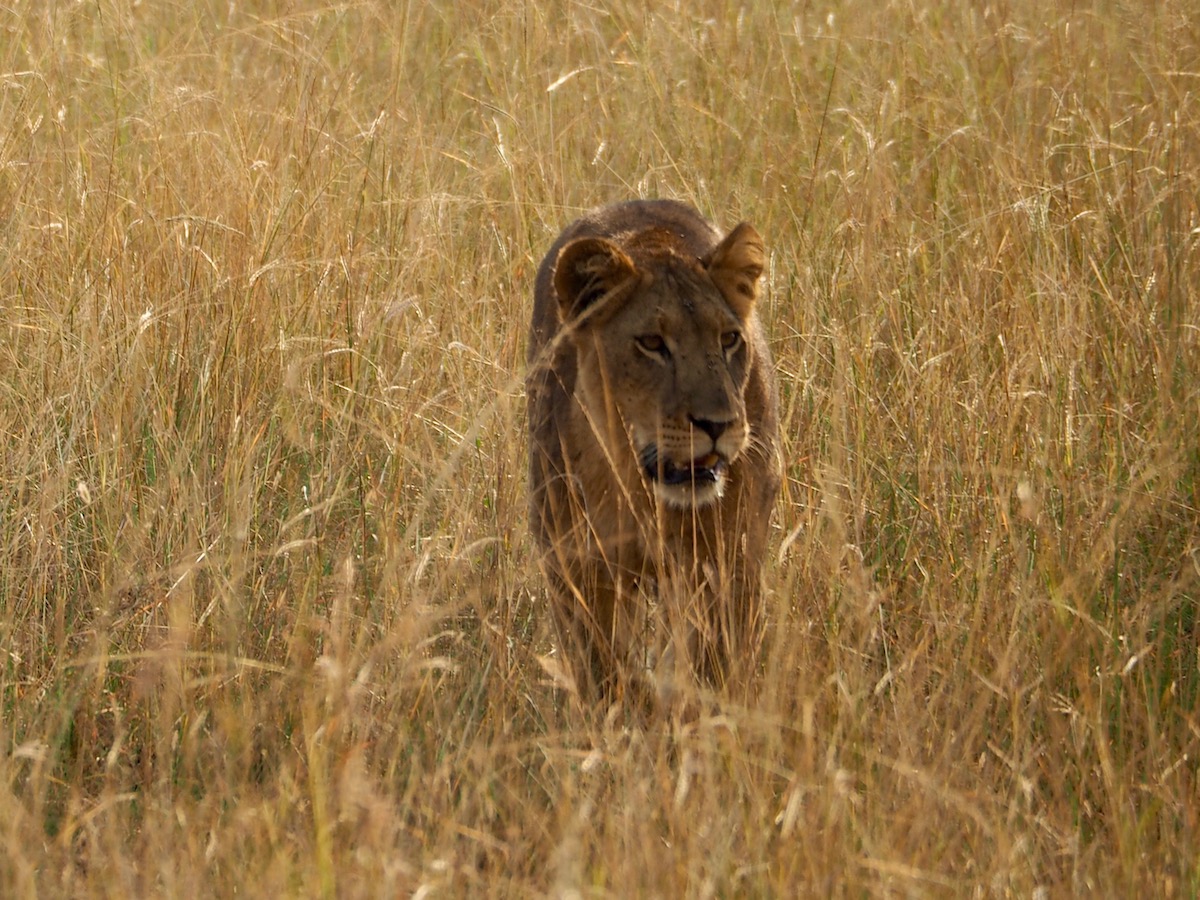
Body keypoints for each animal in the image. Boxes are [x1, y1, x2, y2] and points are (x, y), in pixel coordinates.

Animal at [526, 199, 782, 708]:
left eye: (729, 339)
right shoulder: (576, 569)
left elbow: (715, 668)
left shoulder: (727, 562)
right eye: (651, 343)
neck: (637, 486)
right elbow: (601, 669)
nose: (717, 424)